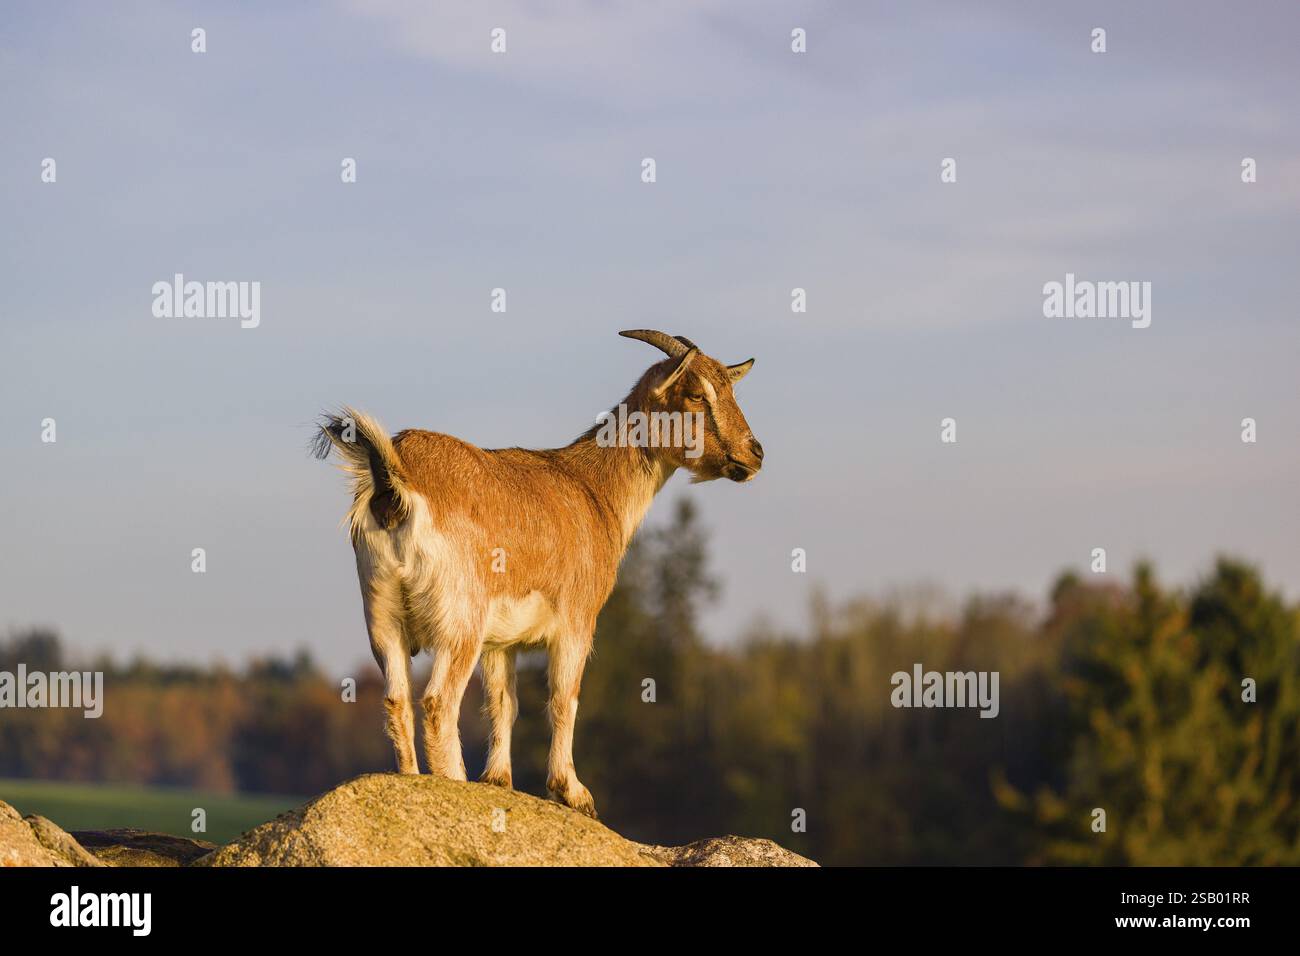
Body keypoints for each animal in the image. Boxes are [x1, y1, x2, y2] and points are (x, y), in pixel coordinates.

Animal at [312, 330, 763, 817]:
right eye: (697, 394)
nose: (754, 454)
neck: (592, 490)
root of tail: (395, 482)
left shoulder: (500, 643)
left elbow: (503, 702)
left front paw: (498, 780)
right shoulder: (576, 620)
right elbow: (564, 698)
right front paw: (573, 792)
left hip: (382, 614)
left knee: (396, 699)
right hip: (459, 620)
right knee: (438, 702)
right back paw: (454, 784)